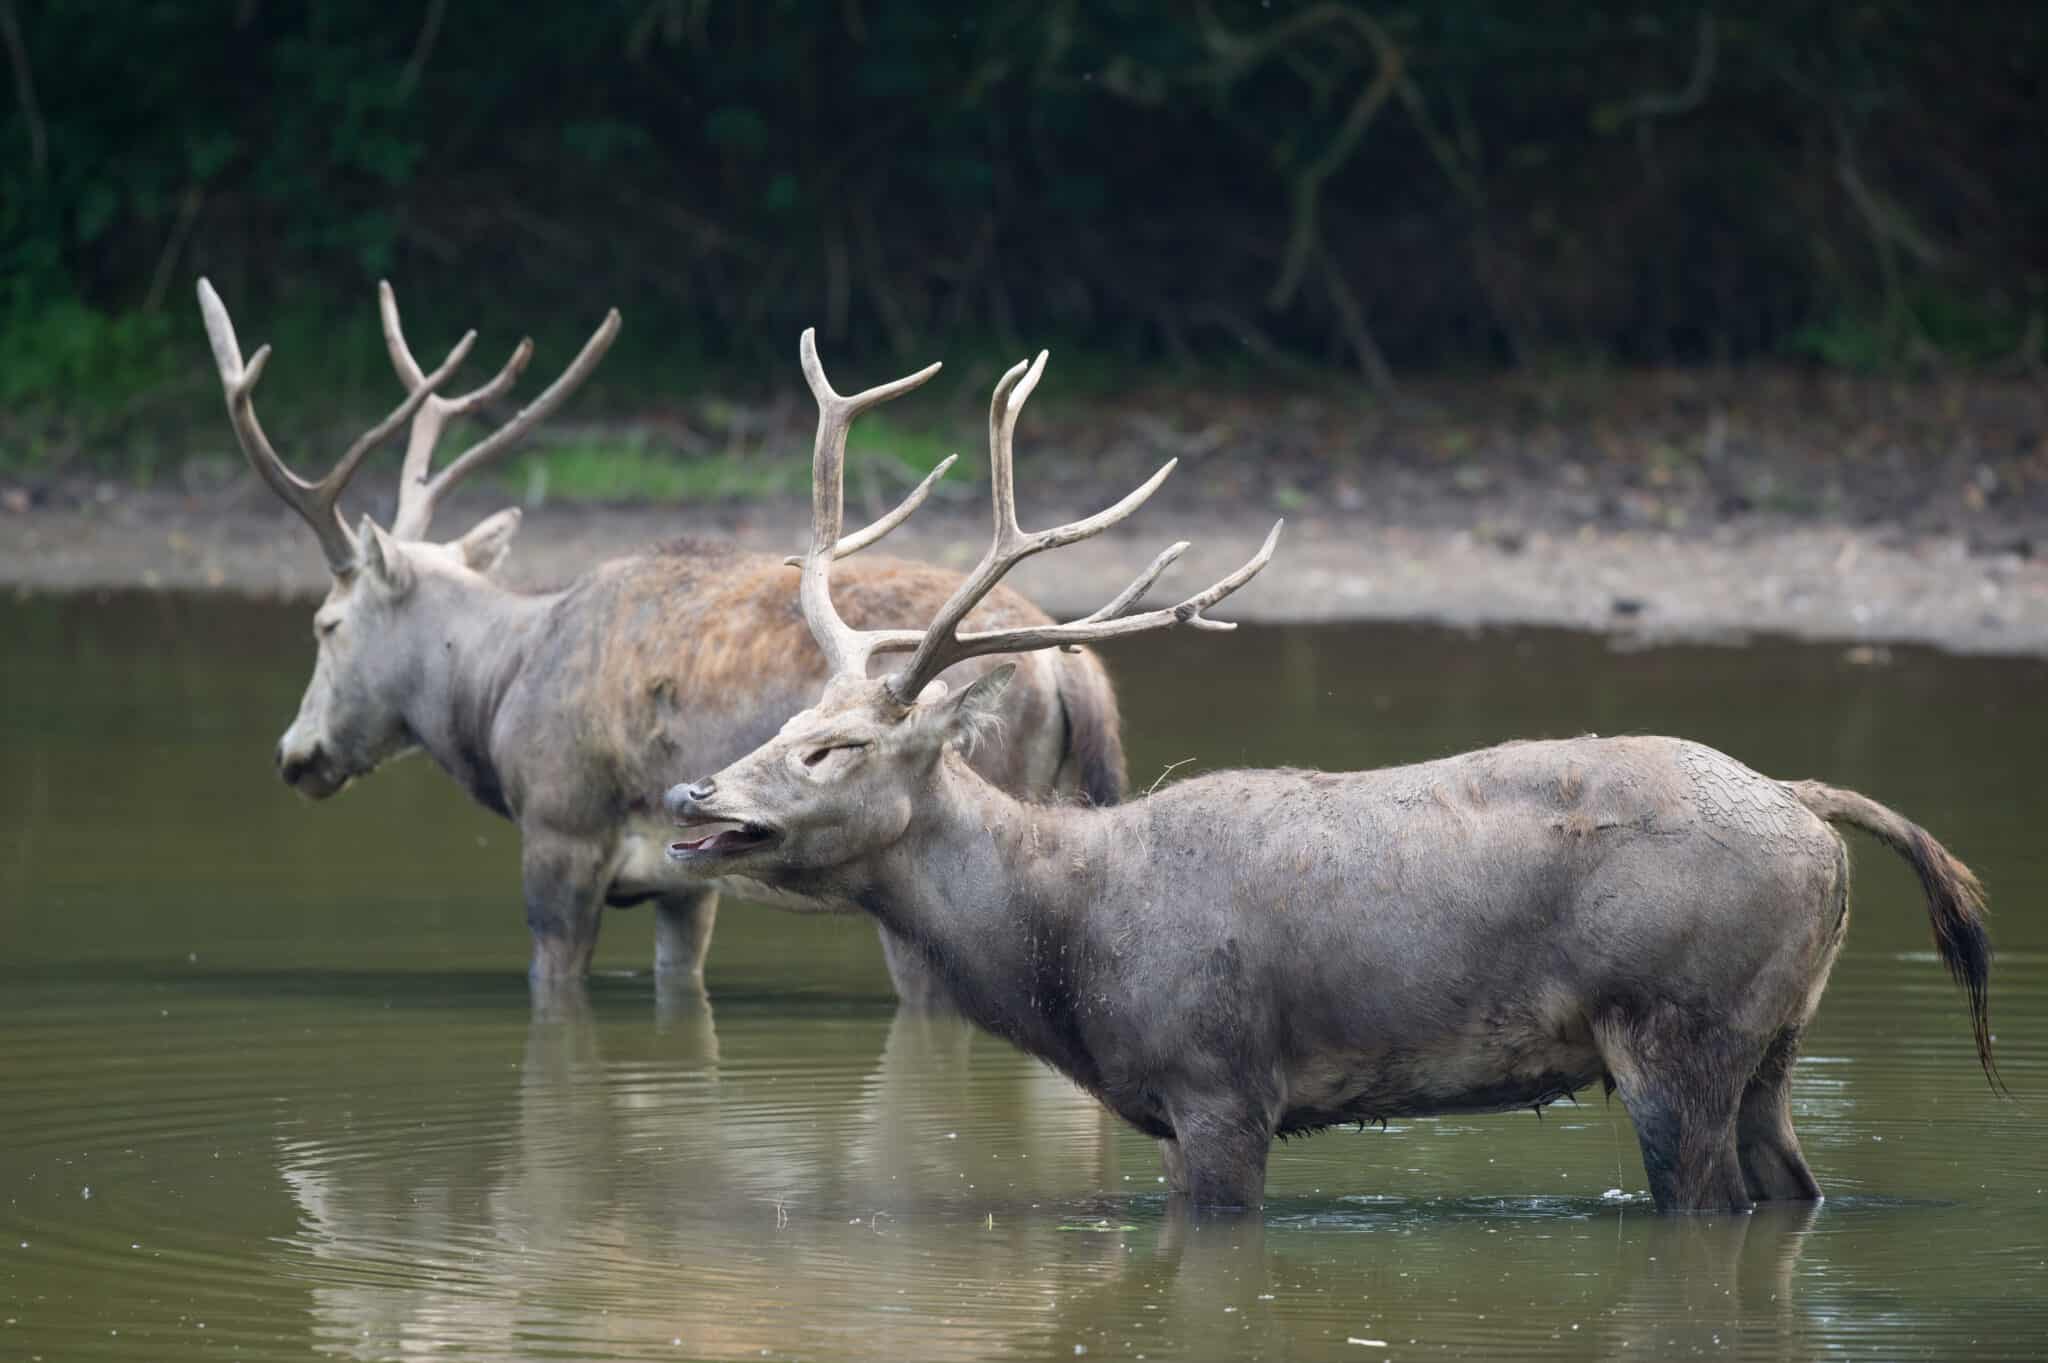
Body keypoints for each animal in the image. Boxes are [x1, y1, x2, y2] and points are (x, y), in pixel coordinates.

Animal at [196, 279, 1126, 996]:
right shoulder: (684, 880)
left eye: (326, 622)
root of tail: (1078, 676)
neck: (495, 693)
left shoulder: (560, 827)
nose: (295, 752)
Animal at [664, 339, 2002, 1215]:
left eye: (835, 748)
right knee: (1793, 1189)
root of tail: (1807, 810)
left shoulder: (1217, 1077)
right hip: (1776, 1031)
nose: (694, 801)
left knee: (1710, 1199)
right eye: (789, 718)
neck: (1068, 943)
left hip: (1682, 1024)